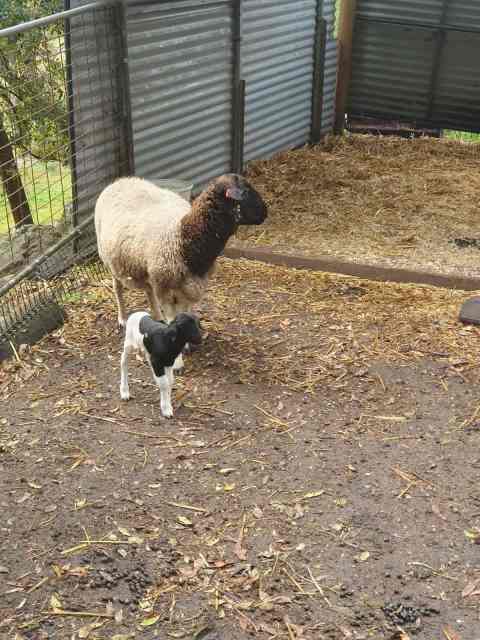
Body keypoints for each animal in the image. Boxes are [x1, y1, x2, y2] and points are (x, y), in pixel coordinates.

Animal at [95, 173, 267, 371]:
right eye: (245, 192)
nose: (265, 212)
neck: (185, 238)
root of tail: (121, 180)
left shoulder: (186, 288)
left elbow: (182, 314)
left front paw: (185, 343)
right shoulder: (166, 288)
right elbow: (172, 318)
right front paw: (177, 360)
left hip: (147, 269)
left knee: (149, 292)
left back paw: (156, 316)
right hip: (111, 260)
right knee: (118, 289)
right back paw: (122, 318)